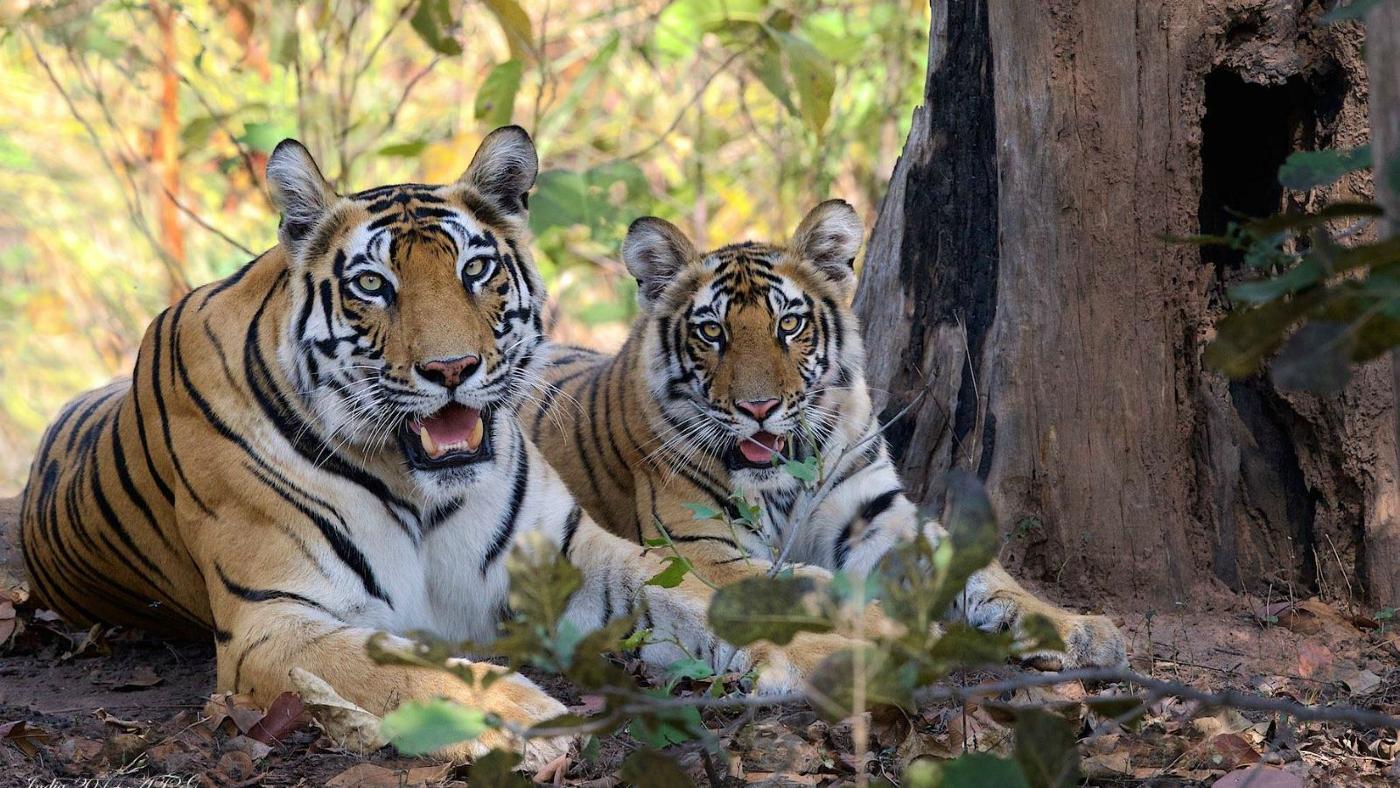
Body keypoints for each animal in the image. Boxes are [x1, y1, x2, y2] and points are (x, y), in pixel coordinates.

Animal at [17, 127, 848, 770]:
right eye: (372, 285)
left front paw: (823, 651)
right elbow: (392, 667)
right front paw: (522, 714)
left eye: (475, 270)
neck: (419, 487)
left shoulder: (574, 552)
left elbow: (702, 594)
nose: (452, 370)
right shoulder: (273, 622)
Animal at [522, 201, 1128, 670]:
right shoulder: (697, 546)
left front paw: (1074, 628)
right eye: (712, 332)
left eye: (788, 325)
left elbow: (976, 567)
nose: (758, 408)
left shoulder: (877, 513)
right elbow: (792, 583)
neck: (784, 476)